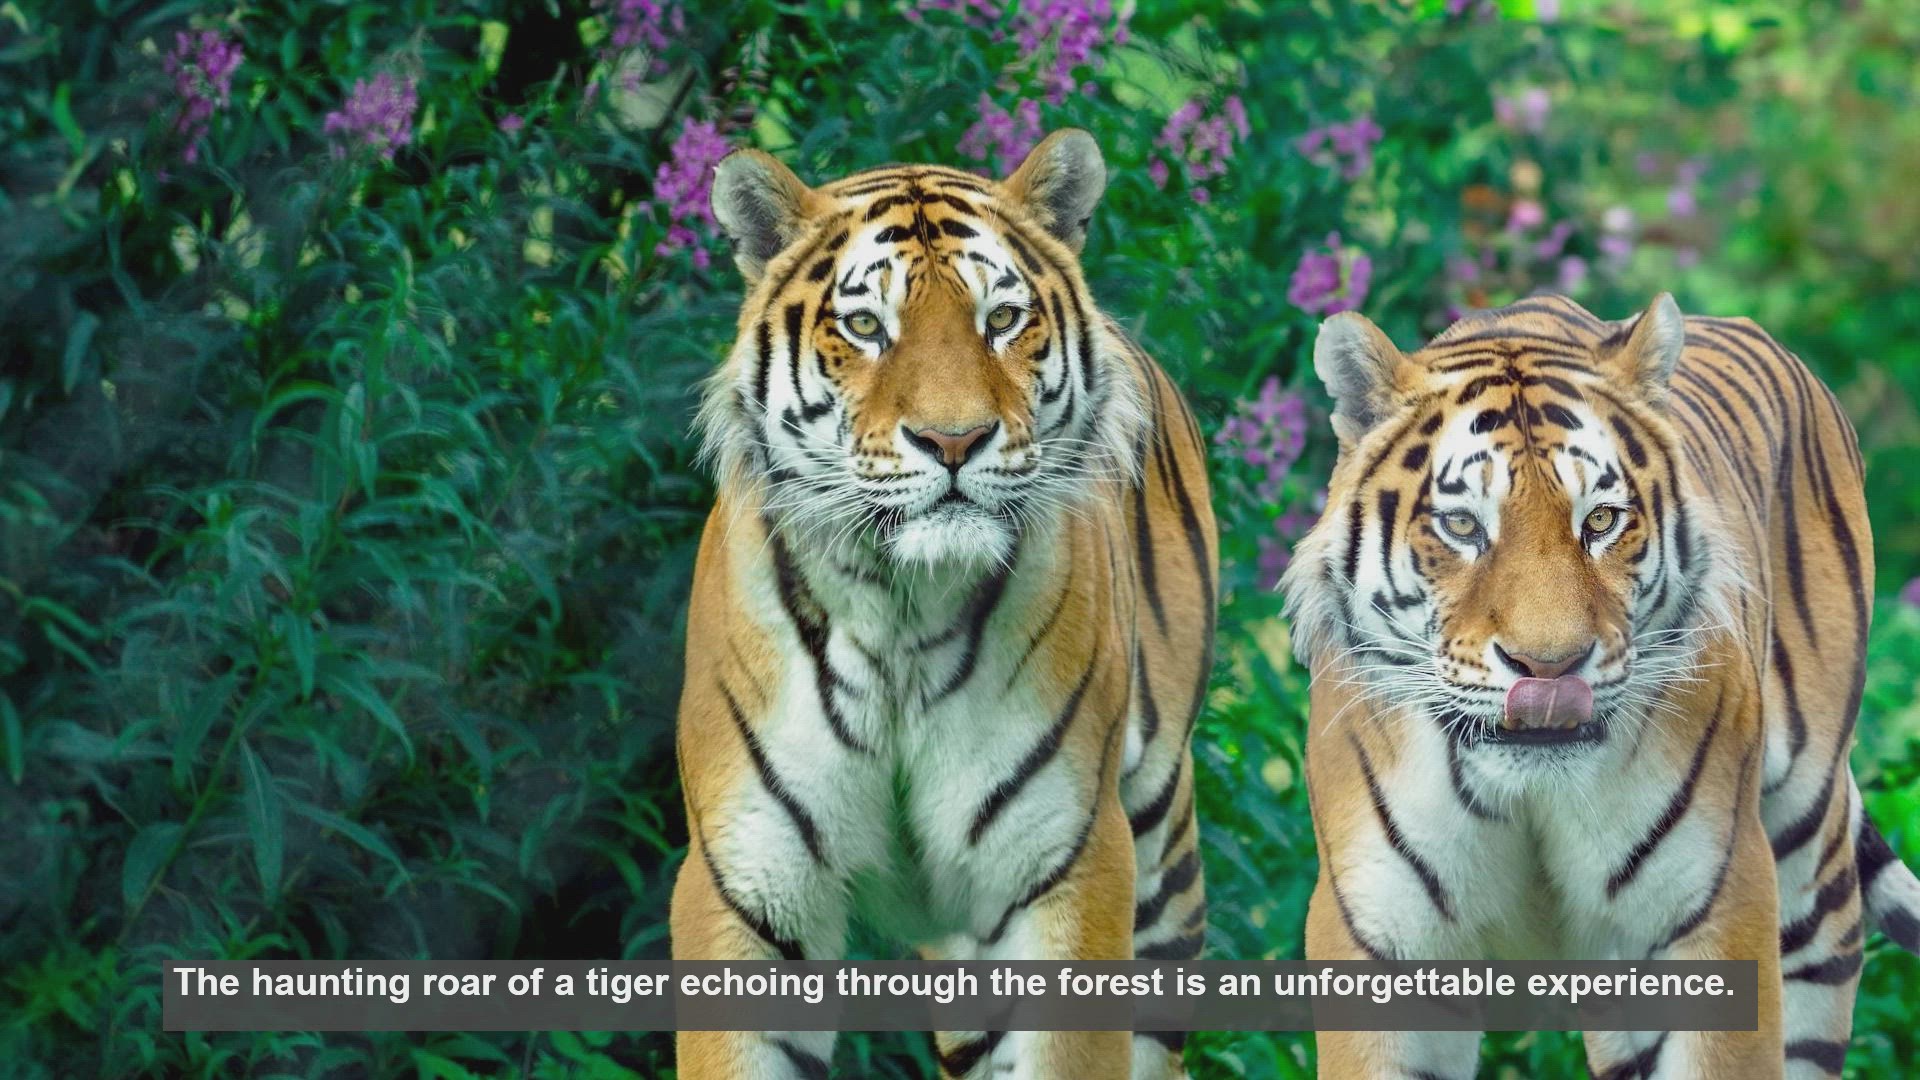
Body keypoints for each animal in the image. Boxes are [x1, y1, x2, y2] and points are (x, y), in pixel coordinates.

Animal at [669, 129, 1218, 1080]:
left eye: (1001, 320)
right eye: (864, 326)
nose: (954, 440)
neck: (899, 609)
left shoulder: (1068, 865)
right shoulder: (745, 881)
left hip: (1159, 848)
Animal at [1279, 293, 1920, 1078]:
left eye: (1603, 520)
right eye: (1461, 524)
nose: (1550, 668)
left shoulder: (1716, 906)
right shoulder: (1380, 935)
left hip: (1808, 850)